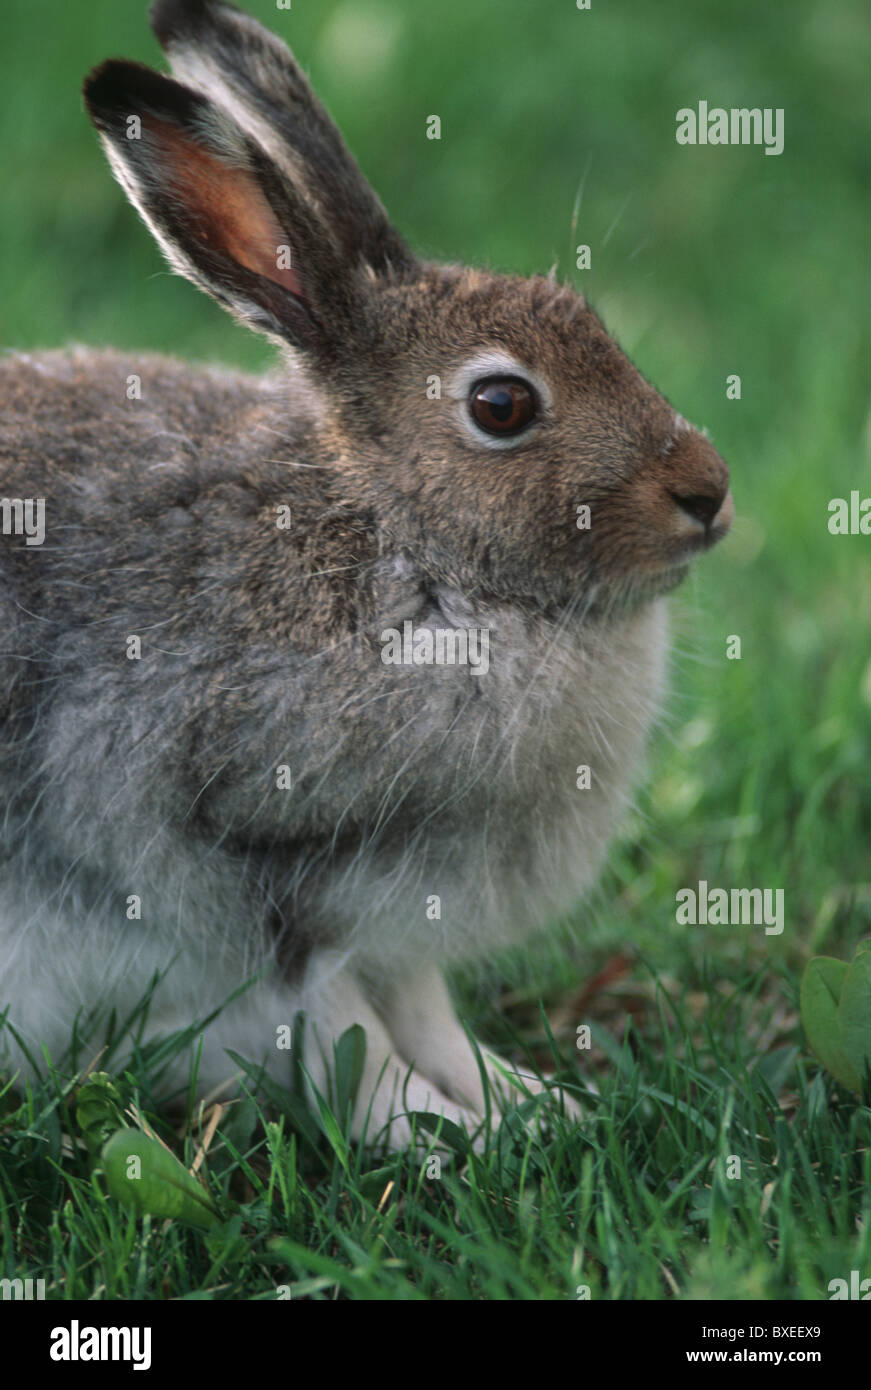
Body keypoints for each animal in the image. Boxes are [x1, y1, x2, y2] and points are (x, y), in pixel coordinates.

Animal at [0, 0, 732, 1150]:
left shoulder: (394, 921)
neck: (409, 549)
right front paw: (441, 1138)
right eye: (501, 406)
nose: (708, 492)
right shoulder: (244, 863)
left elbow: (422, 1011)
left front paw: (529, 1106)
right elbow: (337, 1029)